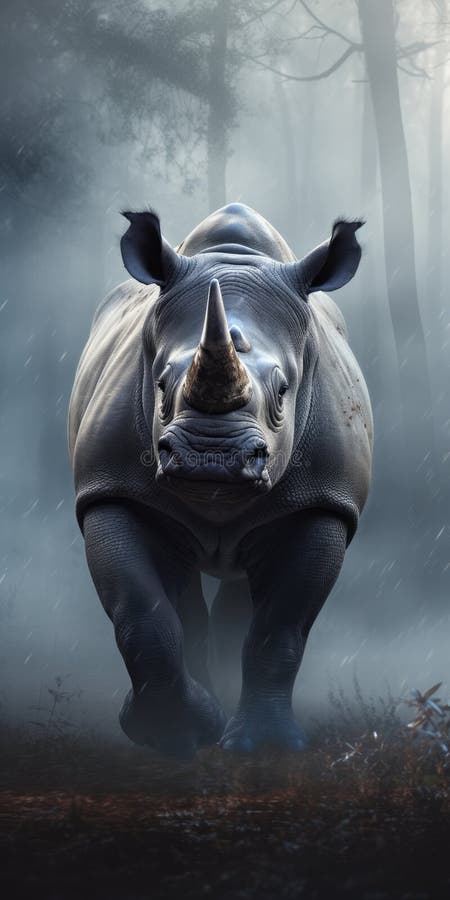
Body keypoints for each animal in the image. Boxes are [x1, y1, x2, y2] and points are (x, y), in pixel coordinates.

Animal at [68, 203, 373, 757]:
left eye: (283, 392)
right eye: (161, 384)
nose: (211, 459)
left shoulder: (322, 502)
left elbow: (281, 628)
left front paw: (264, 748)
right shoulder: (113, 491)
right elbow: (142, 615)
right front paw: (173, 735)